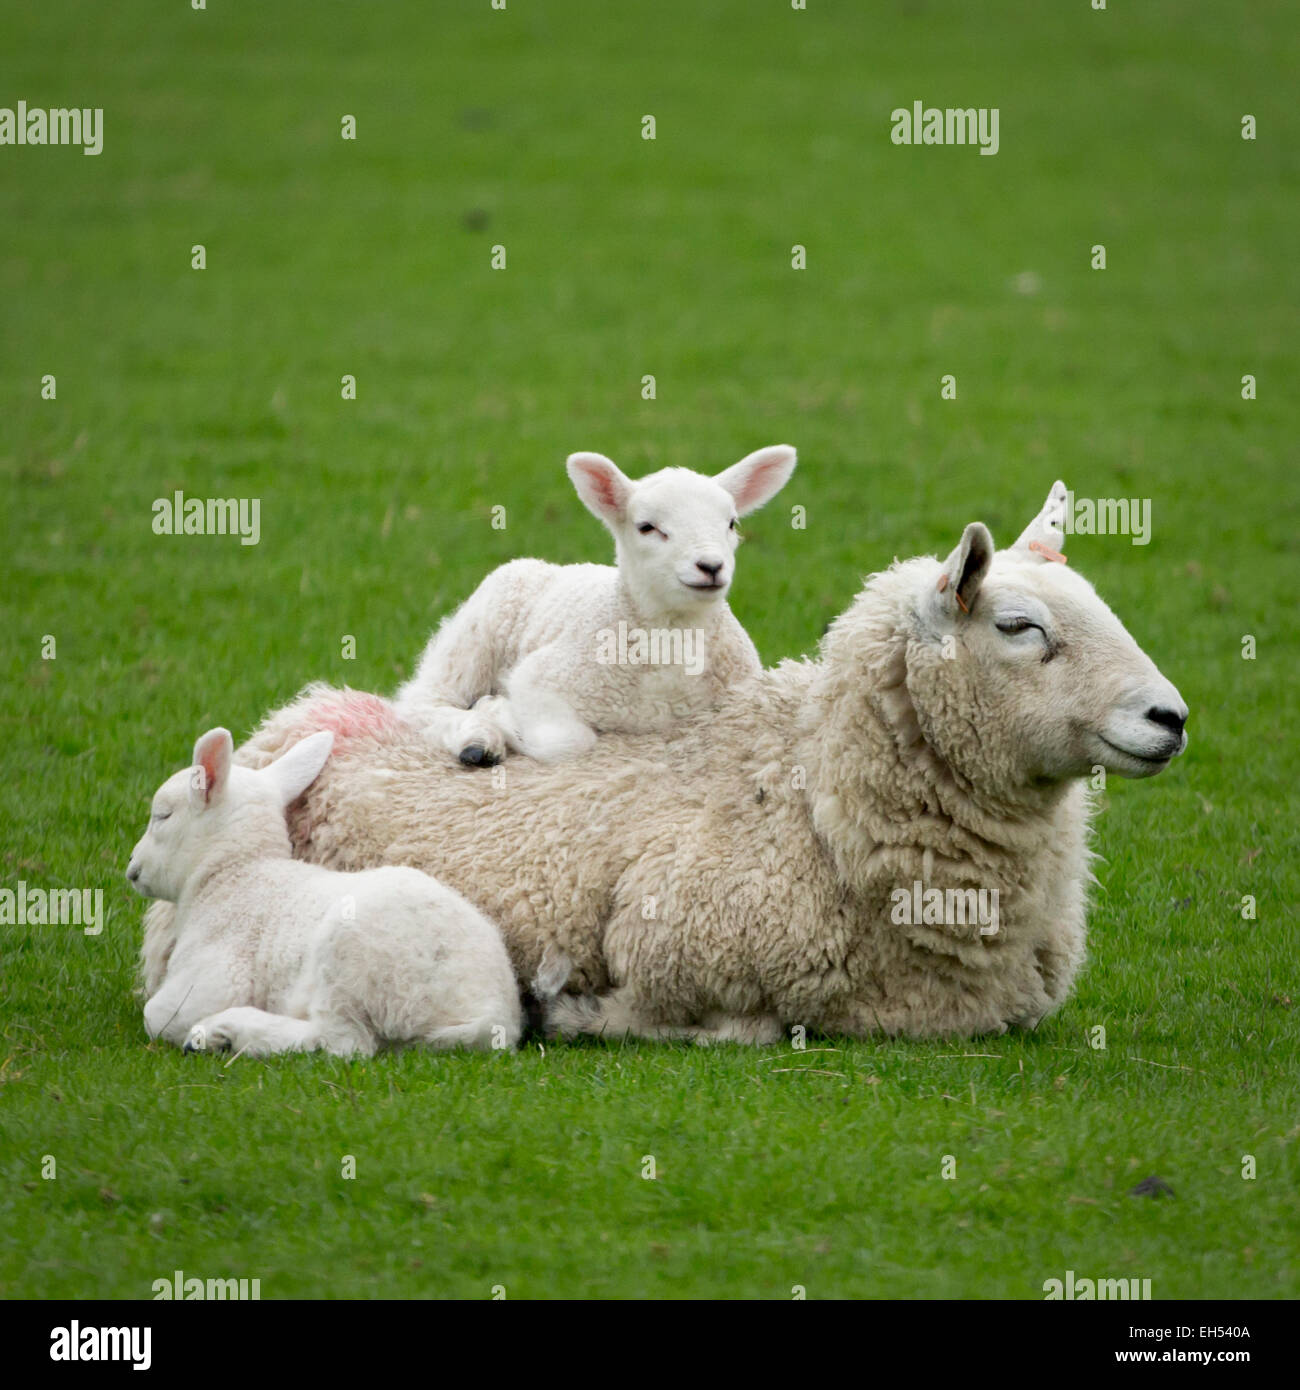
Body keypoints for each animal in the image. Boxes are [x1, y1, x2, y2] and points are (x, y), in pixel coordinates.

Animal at [129, 726, 522, 1057]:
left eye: (162, 816)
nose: (133, 869)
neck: (235, 873)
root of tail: (492, 1017)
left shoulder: (219, 973)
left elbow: (156, 1014)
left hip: (352, 960)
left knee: (342, 1041)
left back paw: (225, 1033)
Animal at [393, 444, 797, 764]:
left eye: (731, 523)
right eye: (647, 527)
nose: (711, 567)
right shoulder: (540, 678)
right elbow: (568, 742)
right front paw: (497, 711)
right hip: (475, 637)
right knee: (423, 701)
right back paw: (477, 740)